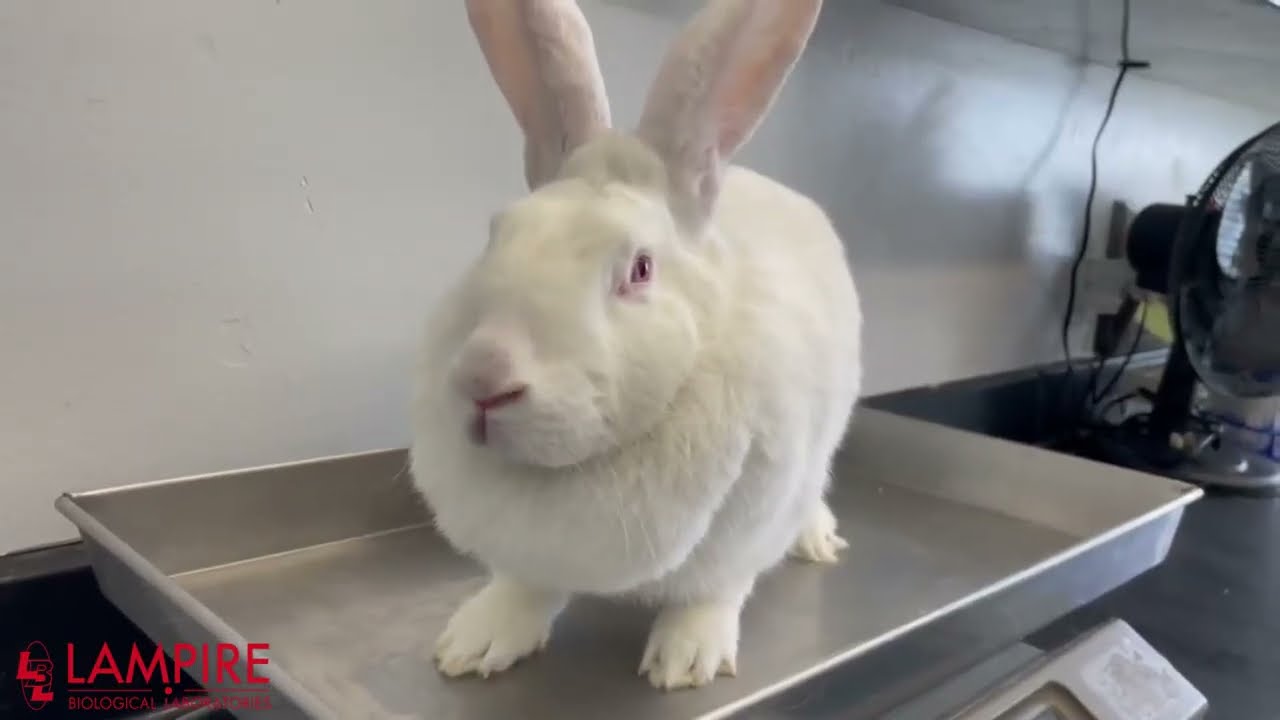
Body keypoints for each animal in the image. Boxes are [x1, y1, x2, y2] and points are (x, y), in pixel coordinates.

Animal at [409, 0, 861, 691]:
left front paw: (685, 660)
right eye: (495, 235)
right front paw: (474, 642)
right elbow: (525, 586)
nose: (484, 381)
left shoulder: (745, 533)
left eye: (640, 269)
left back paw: (818, 541)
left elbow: (714, 590)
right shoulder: (533, 554)